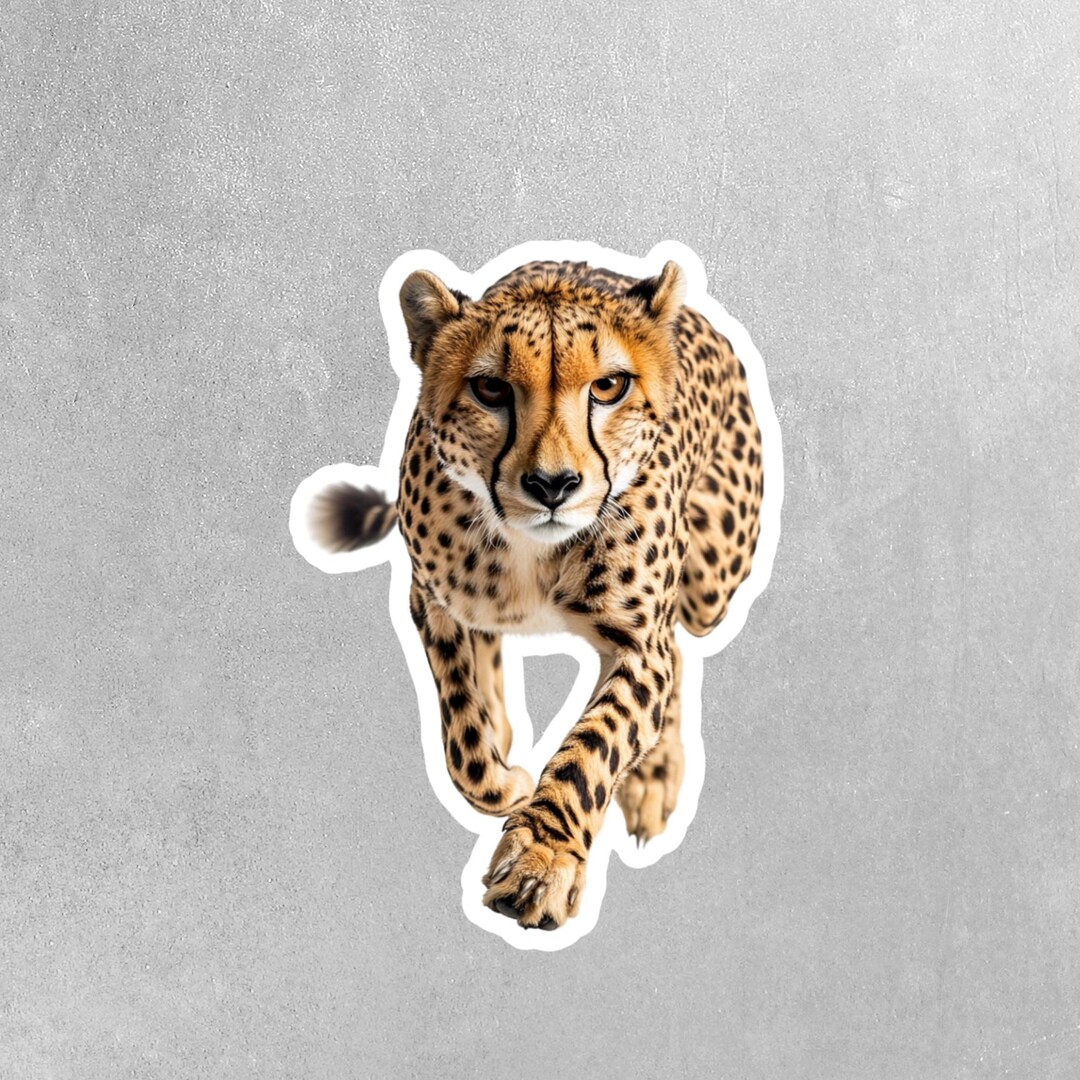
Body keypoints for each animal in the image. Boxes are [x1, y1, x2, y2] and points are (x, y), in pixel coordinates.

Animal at [308, 257, 764, 931]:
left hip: (711, 585)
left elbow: (597, 742)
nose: (553, 485)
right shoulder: (432, 601)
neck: (533, 551)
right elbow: (462, 725)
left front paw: (542, 862)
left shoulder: (637, 643)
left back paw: (654, 774)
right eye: (491, 390)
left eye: (609, 387)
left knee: (681, 646)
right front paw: (501, 778)